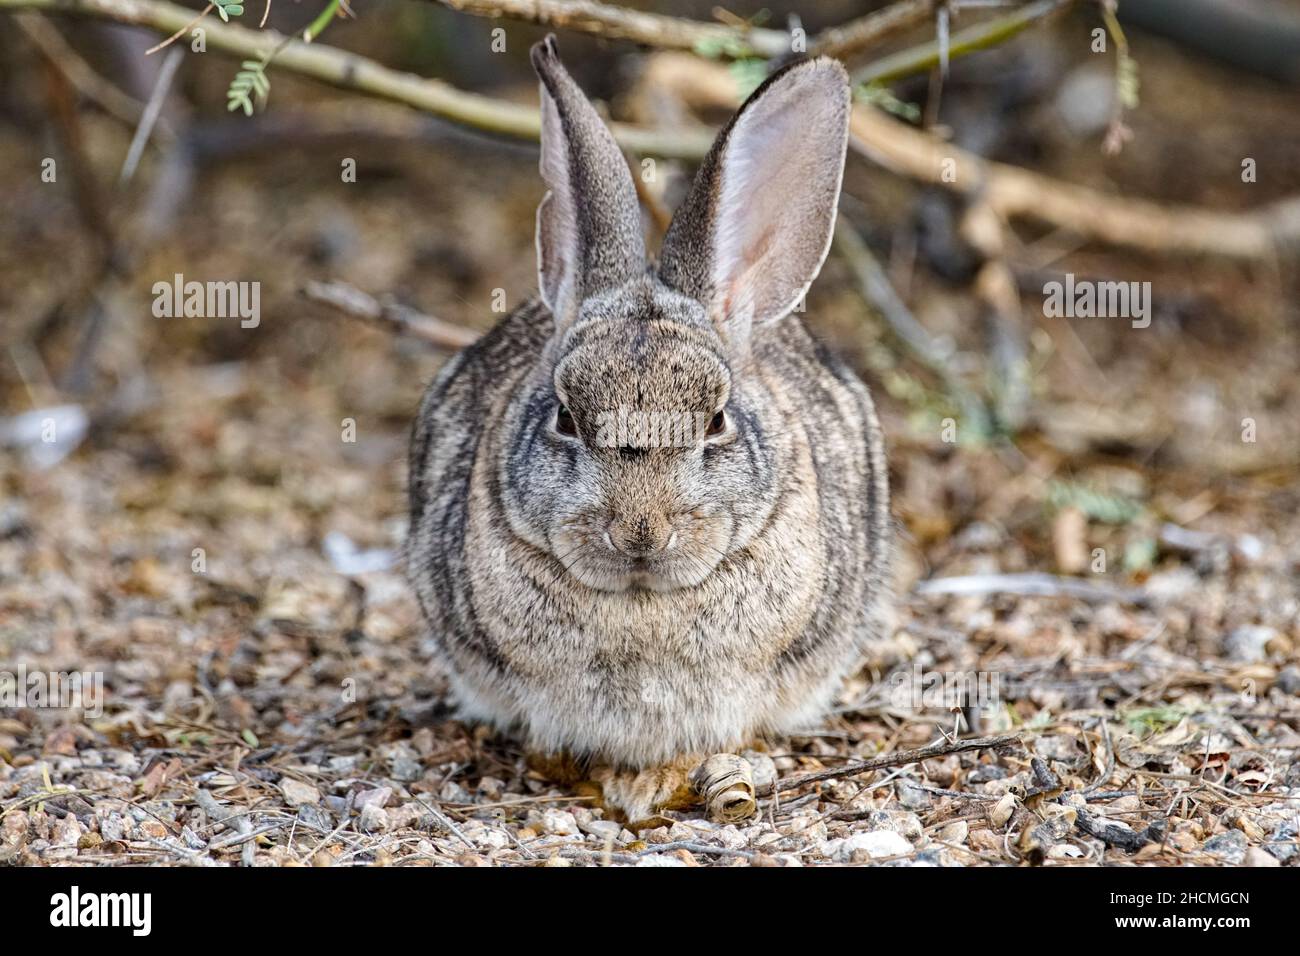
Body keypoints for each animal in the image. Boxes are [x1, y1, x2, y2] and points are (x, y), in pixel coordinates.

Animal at [407, 35, 891, 822]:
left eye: (717, 420)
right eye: (566, 418)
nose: (639, 531)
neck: (642, 601)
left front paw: (659, 782)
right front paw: (602, 778)